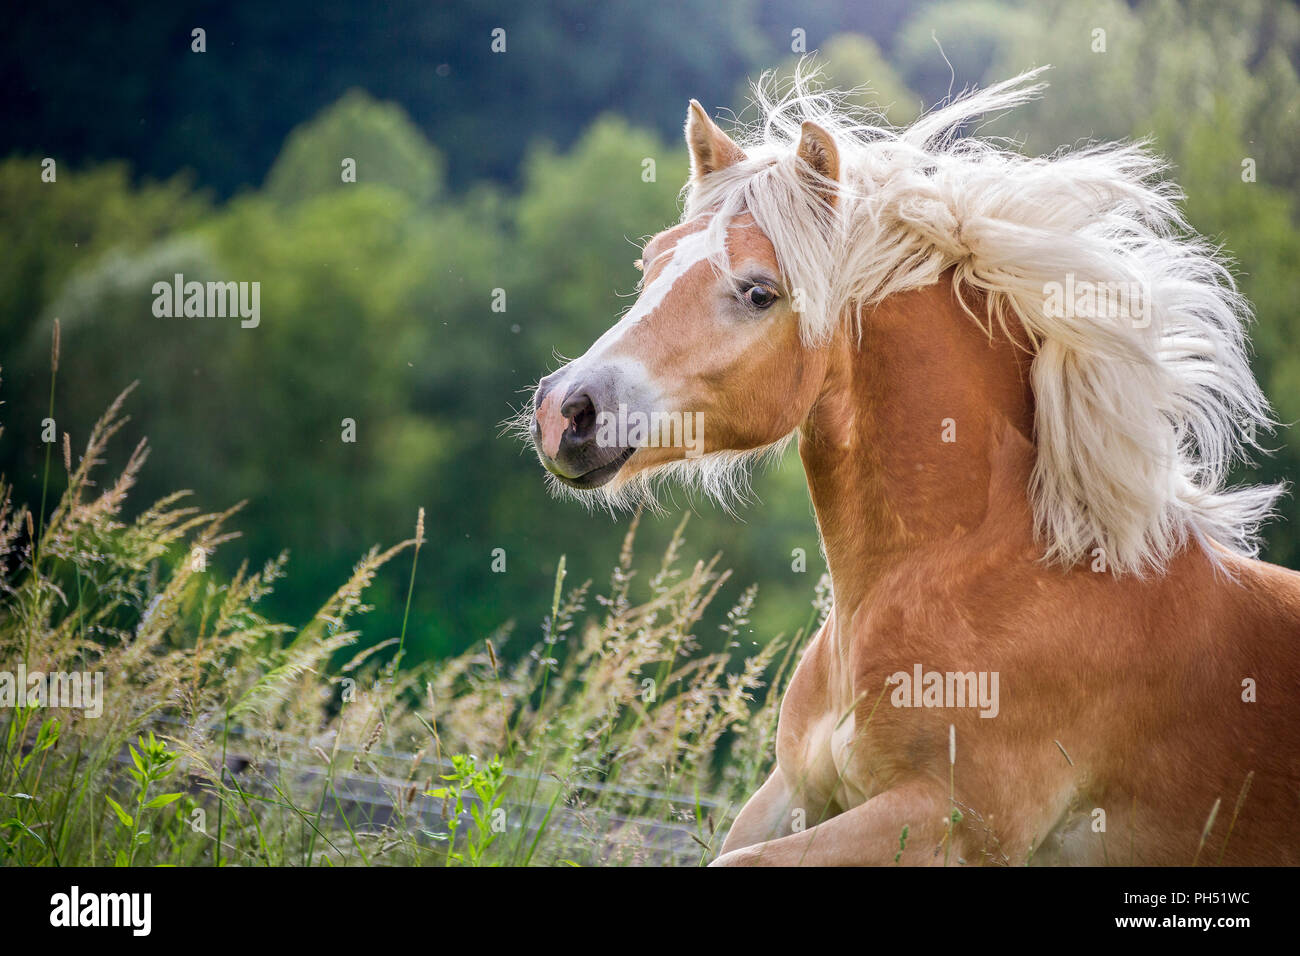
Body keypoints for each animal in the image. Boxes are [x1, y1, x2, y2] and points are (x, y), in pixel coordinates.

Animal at [524, 69, 1300, 866]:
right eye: (651, 264)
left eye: (759, 292)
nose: (565, 411)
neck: (1000, 568)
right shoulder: (794, 790)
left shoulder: (946, 823)